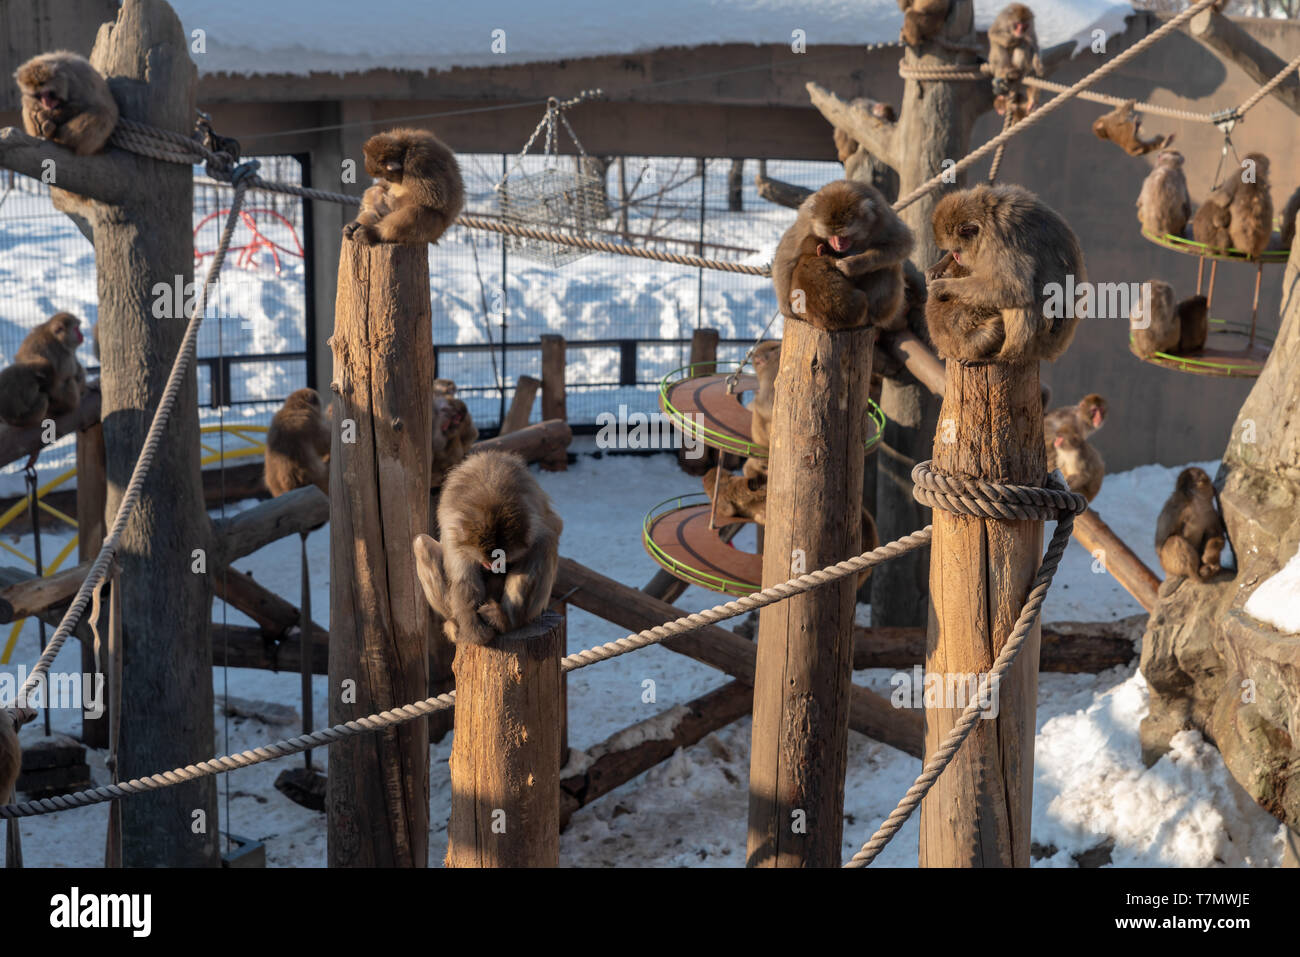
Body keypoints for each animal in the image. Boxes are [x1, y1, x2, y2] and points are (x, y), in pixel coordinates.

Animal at [413, 450, 562, 646]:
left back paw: (507, 620)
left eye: (502, 561)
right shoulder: (456, 535)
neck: (492, 498)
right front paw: (476, 631)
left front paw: (504, 620)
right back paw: (454, 623)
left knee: (546, 543)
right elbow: (464, 579)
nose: (491, 568)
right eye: (485, 562)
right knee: (421, 544)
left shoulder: (534, 524)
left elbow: (547, 535)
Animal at [773, 180, 913, 332]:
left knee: (889, 266)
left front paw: (852, 265)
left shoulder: (882, 217)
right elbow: (788, 252)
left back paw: (875, 316)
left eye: (844, 236)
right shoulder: (806, 220)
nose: (838, 245)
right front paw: (787, 309)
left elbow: (901, 242)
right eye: (832, 235)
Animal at [924, 183, 1086, 365]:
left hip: (1046, 339)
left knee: (1022, 301)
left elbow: (1013, 288)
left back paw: (1003, 357)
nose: (956, 256)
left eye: (957, 249)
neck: (986, 218)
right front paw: (938, 268)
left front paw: (942, 286)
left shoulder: (998, 241)